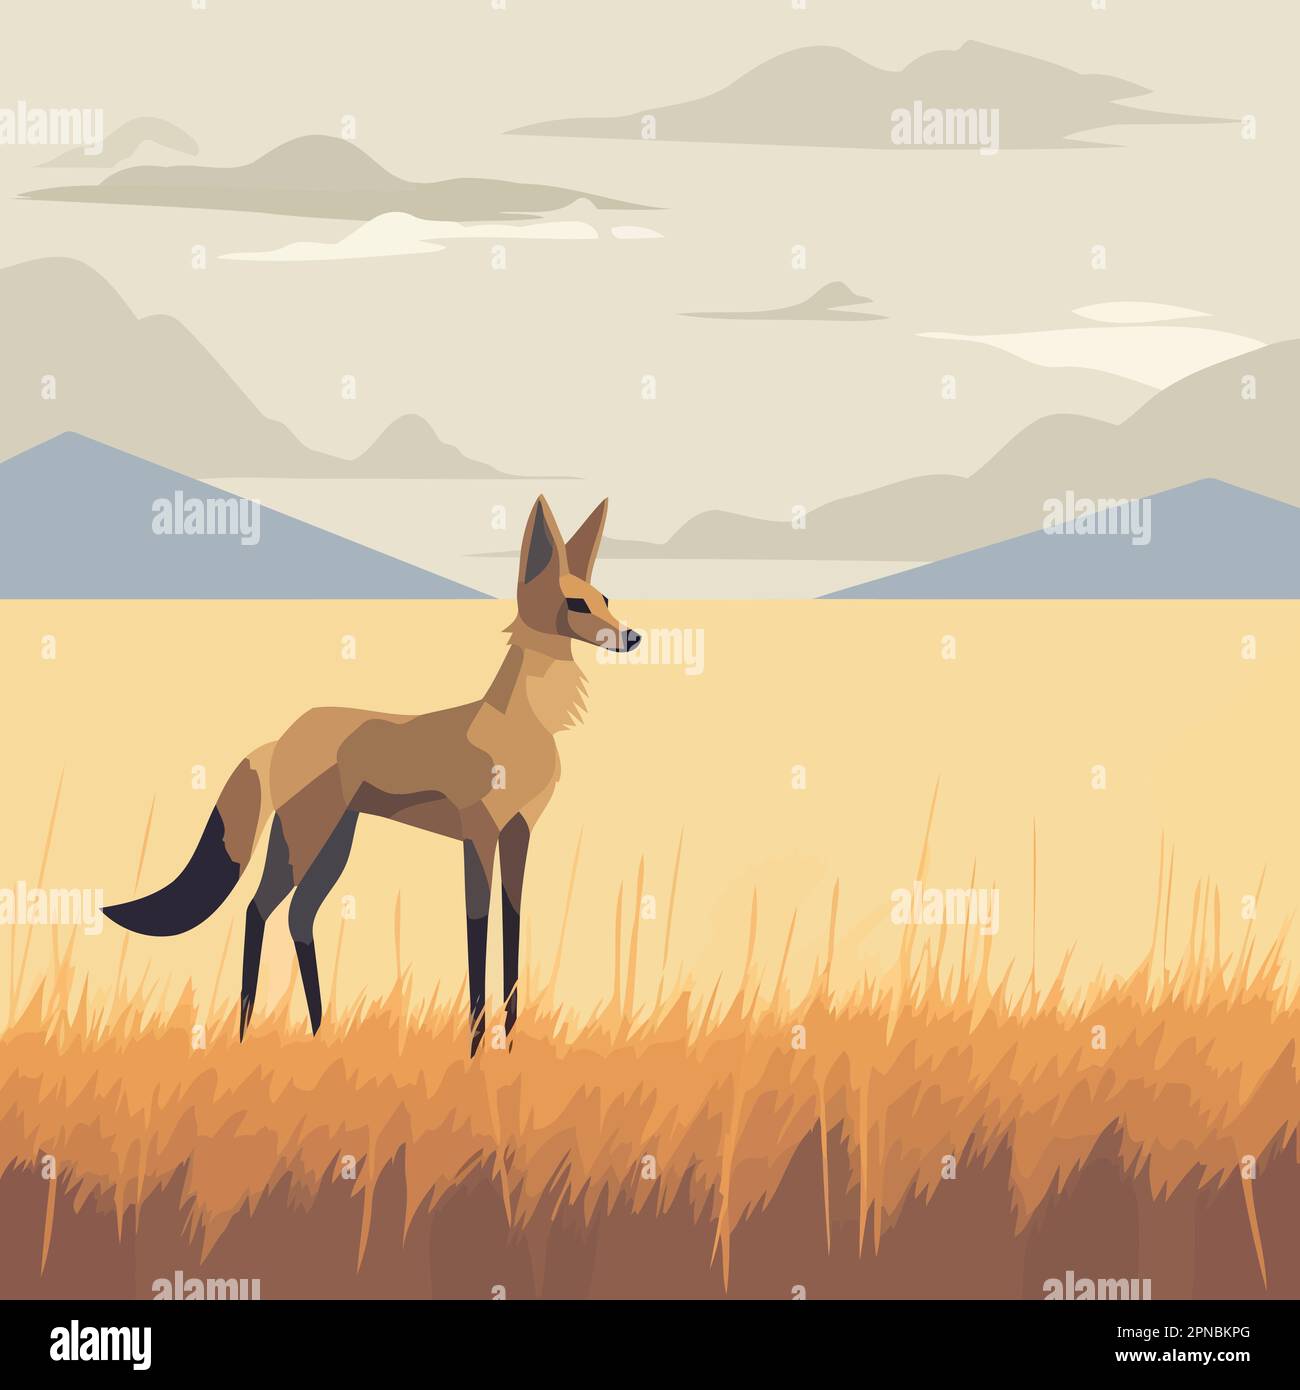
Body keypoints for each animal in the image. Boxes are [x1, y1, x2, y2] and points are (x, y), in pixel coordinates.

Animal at [104, 497, 638, 1055]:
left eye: (604, 598)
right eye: (576, 605)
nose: (633, 637)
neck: (520, 727)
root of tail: (284, 734)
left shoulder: (519, 834)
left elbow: (511, 935)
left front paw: (508, 1044)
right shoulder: (478, 835)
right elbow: (478, 932)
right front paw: (474, 1047)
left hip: (333, 842)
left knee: (296, 916)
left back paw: (320, 1031)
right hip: (307, 839)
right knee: (257, 909)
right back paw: (248, 1032)